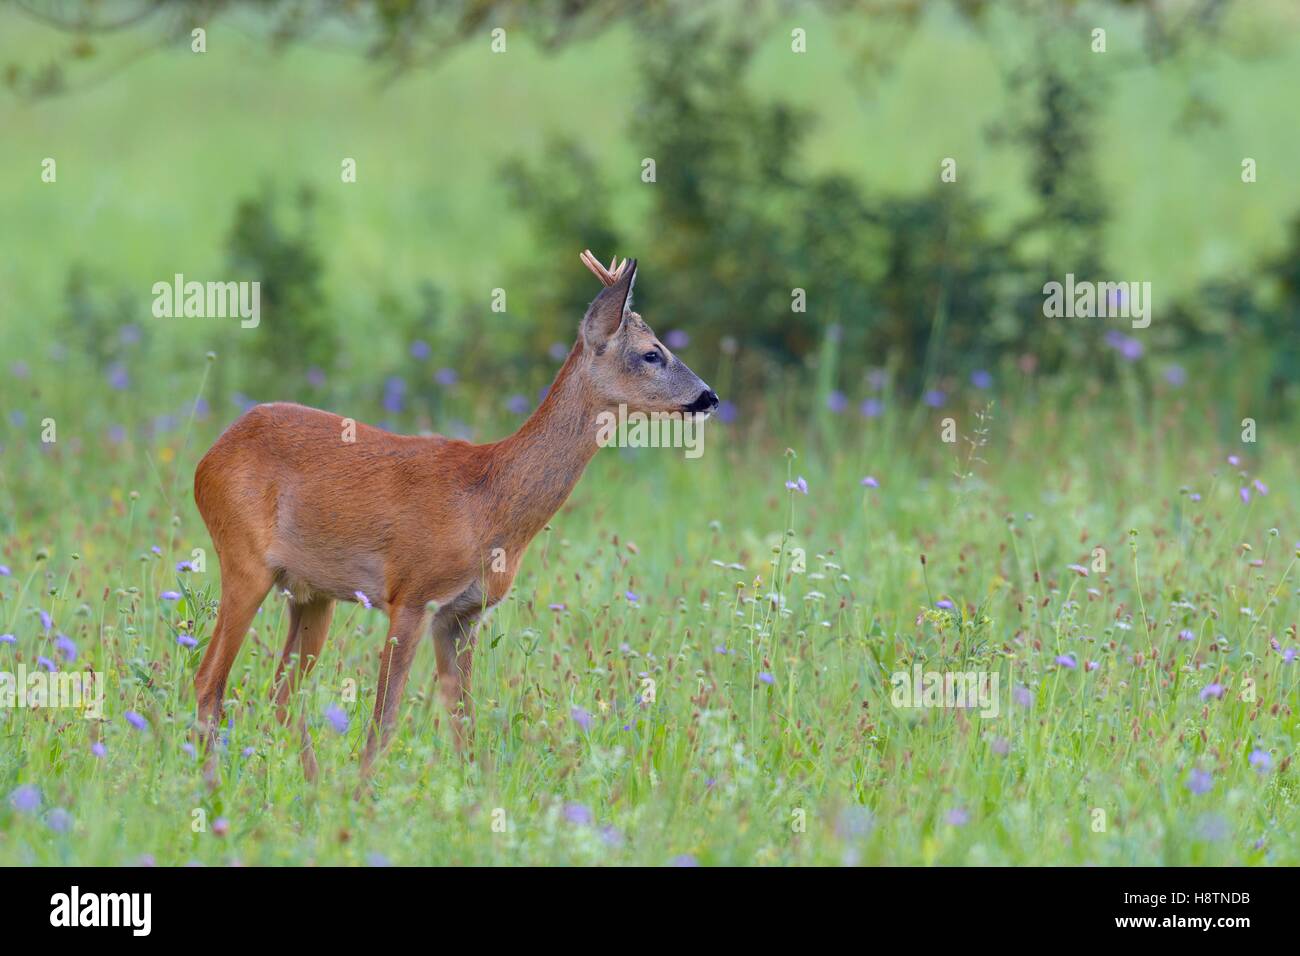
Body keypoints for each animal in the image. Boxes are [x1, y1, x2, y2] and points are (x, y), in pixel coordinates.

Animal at [191, 251, 719, 782]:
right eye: (652, 353)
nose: (709, 398)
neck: (488, 505)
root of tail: (208, 458)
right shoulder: (412, 593)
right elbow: (385, 717)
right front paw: (363, 794)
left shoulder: (463, 614)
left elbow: (465, 725)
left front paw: (474, 795)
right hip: (244, 558)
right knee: (209, 680)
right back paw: (213, 784)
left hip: (311, 593)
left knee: (282, 695)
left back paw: (311, 787)